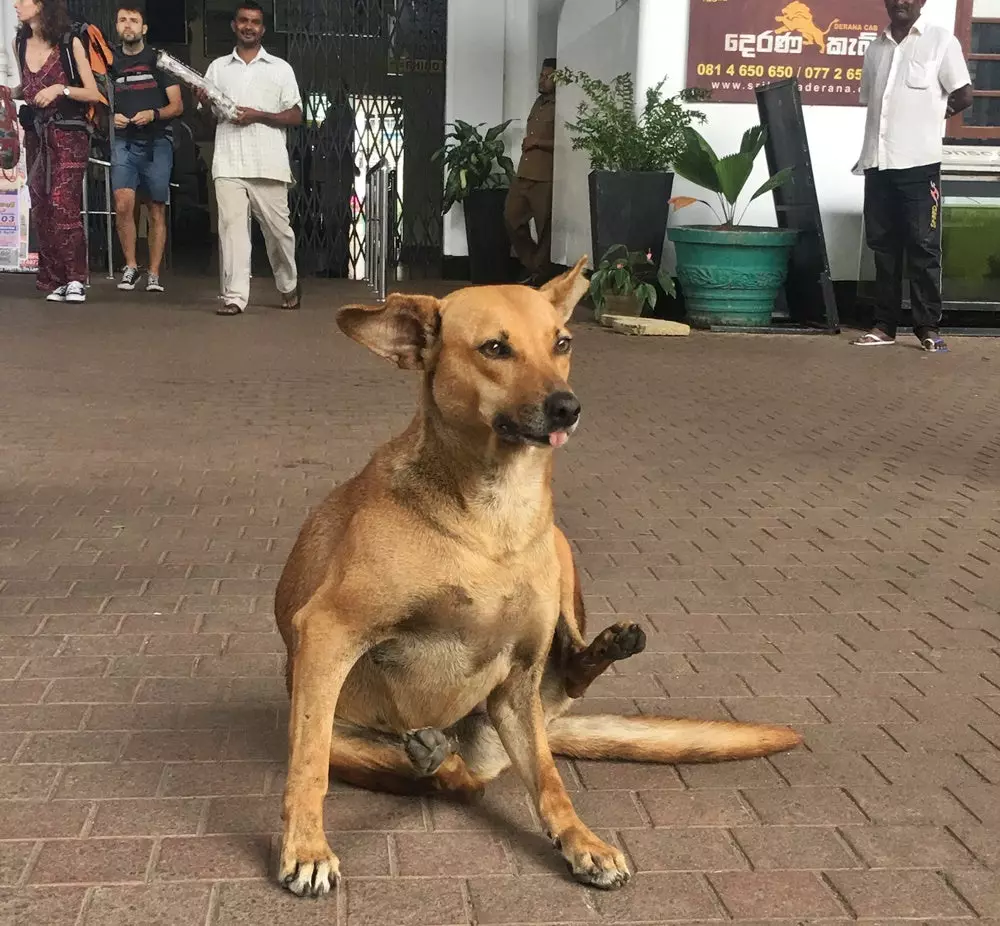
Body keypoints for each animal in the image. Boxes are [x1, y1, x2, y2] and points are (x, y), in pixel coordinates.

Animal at [270, 260, 800, 900]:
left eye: (562, 343)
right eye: (495, 349)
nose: (567, 406)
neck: (492, 515)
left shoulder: (520, 676)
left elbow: (549, 781)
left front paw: (580, 842)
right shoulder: (326, 632)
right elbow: (307, 770)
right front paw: (306, 848)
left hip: (554, 584)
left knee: (550, 695)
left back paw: (599, 652)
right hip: (347, 733)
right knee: (433, 777)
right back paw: (430, 756)